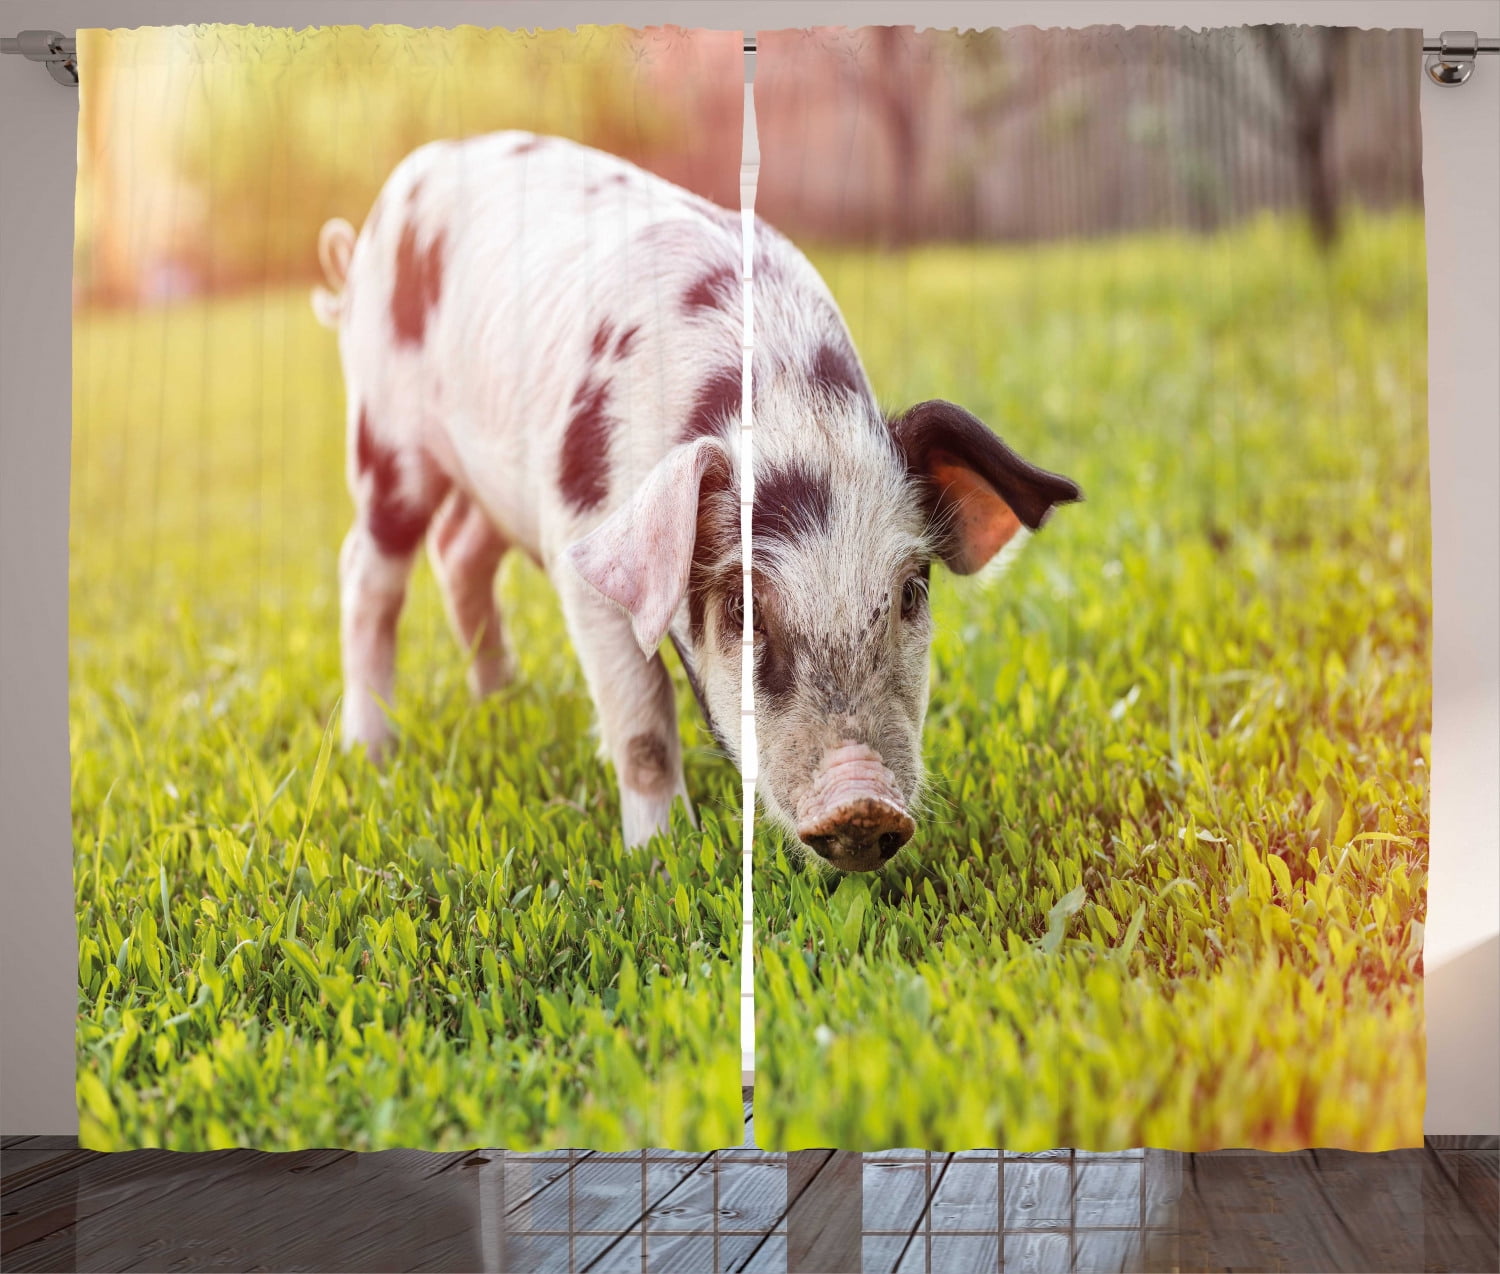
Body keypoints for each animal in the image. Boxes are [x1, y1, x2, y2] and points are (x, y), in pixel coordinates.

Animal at [314, 131, 1079, 871]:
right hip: (384, 434)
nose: (861, 801)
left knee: (460, 552)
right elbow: (643, 727)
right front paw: (660, 857)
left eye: (913, 592)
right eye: (742, 607)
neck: (784, 402)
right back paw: (371, 750)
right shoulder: (582, 552)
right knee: (366, 570)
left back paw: (506, 698)